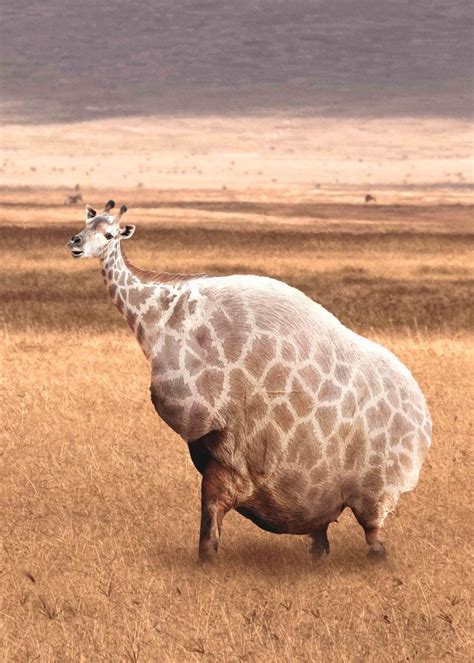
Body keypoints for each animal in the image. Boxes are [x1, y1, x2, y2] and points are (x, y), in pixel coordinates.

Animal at [68, 200, 432, 561]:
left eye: (110, 234)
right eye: (86, 224)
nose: (75, 243)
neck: (162, 320)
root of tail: (423, 416)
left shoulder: (208, 421)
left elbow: (209, 537)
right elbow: (209, 536)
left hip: (376, 489)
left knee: (374, 538)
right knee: (322, 537)